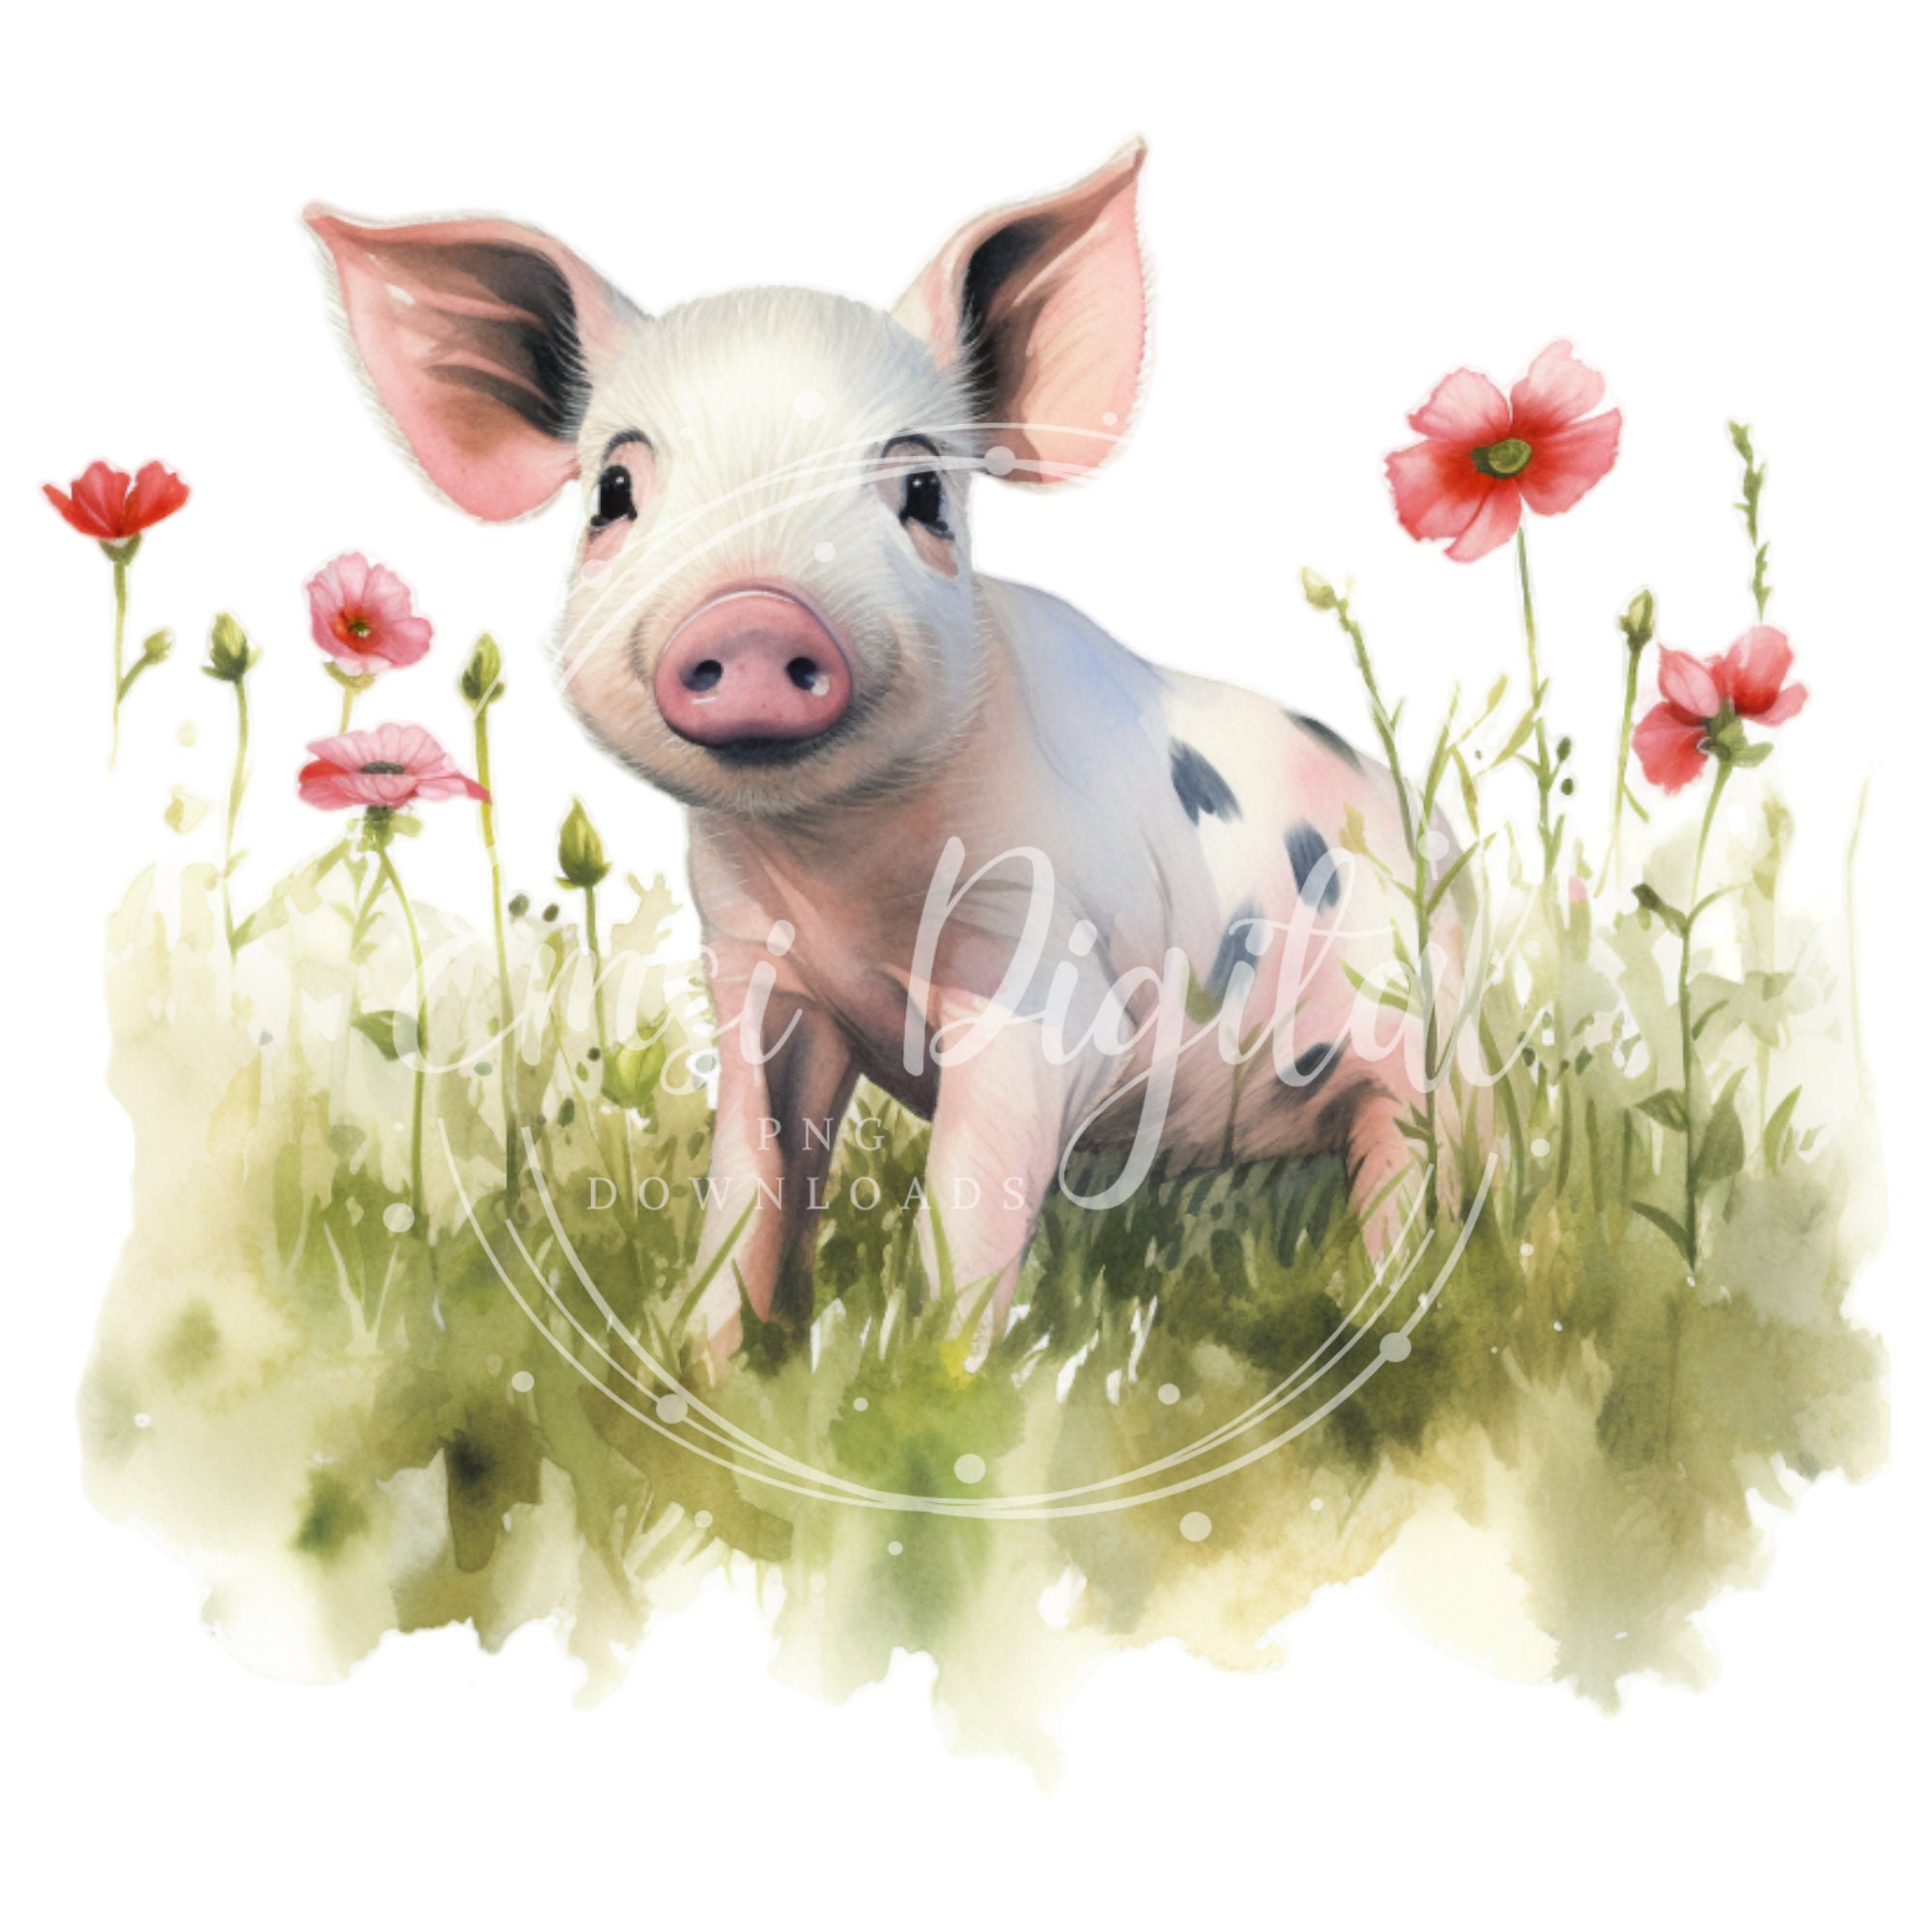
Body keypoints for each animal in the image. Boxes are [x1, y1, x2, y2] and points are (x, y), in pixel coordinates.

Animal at [307, 141, 1475, 1361]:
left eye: (921, 490)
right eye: (614, 490)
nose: (752, 618)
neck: (842, 872)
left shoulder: (1043, 974)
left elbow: (969, 1197)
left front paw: (940, 1380)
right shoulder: (751, 960)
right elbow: (753, 1172)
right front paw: (707, 1363)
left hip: (1432, 1049)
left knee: (1412, 1169)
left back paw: (1390, 1309)